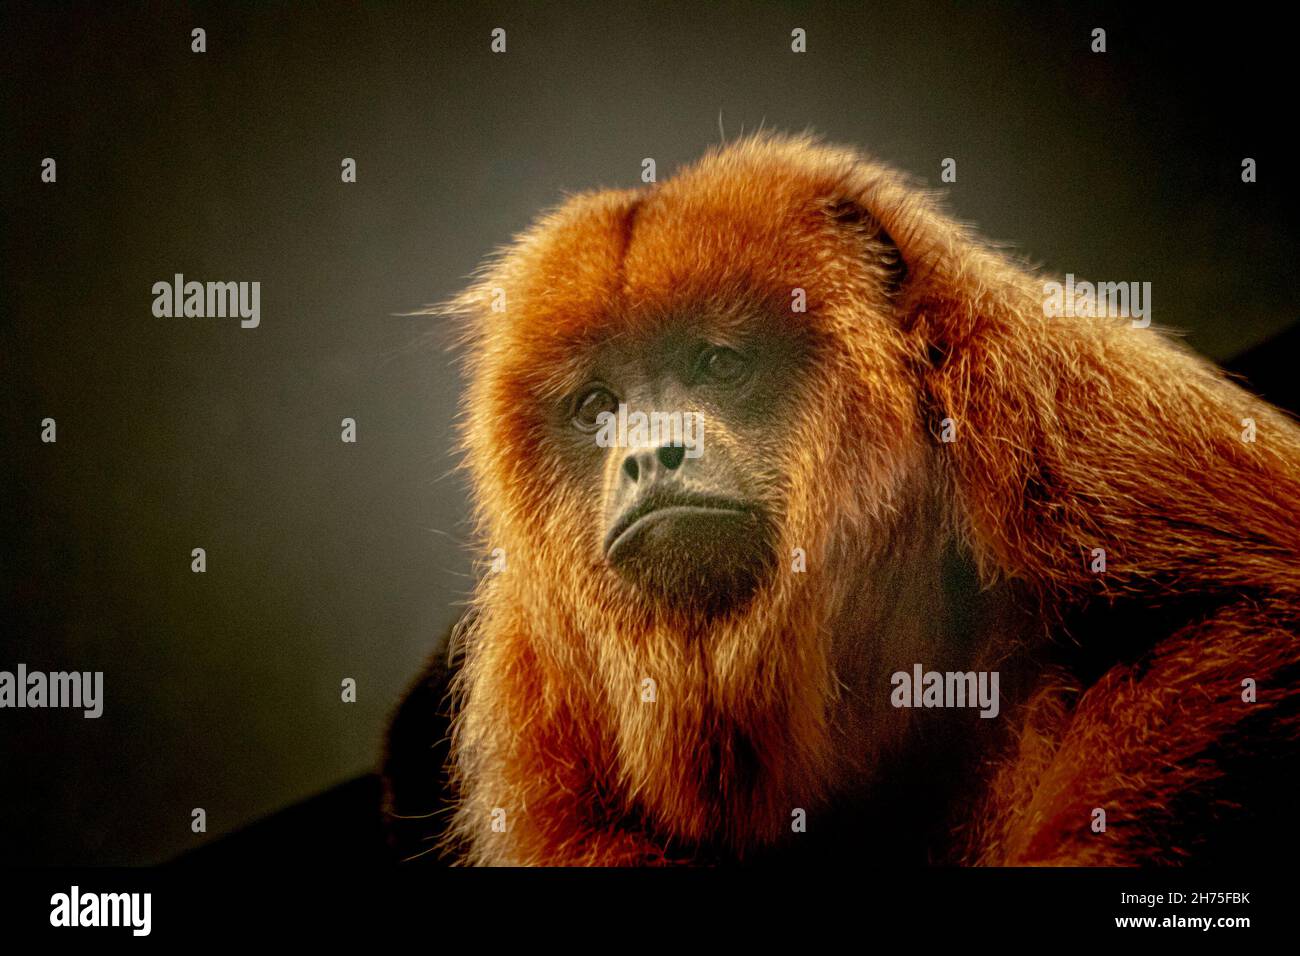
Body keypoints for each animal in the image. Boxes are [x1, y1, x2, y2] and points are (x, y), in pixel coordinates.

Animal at [395, 132, 1300, 866]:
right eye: (597, 408)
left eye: (718, 362)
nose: (650, 456)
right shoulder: (531, 661)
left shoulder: (1034, 381)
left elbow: (1249, 611)